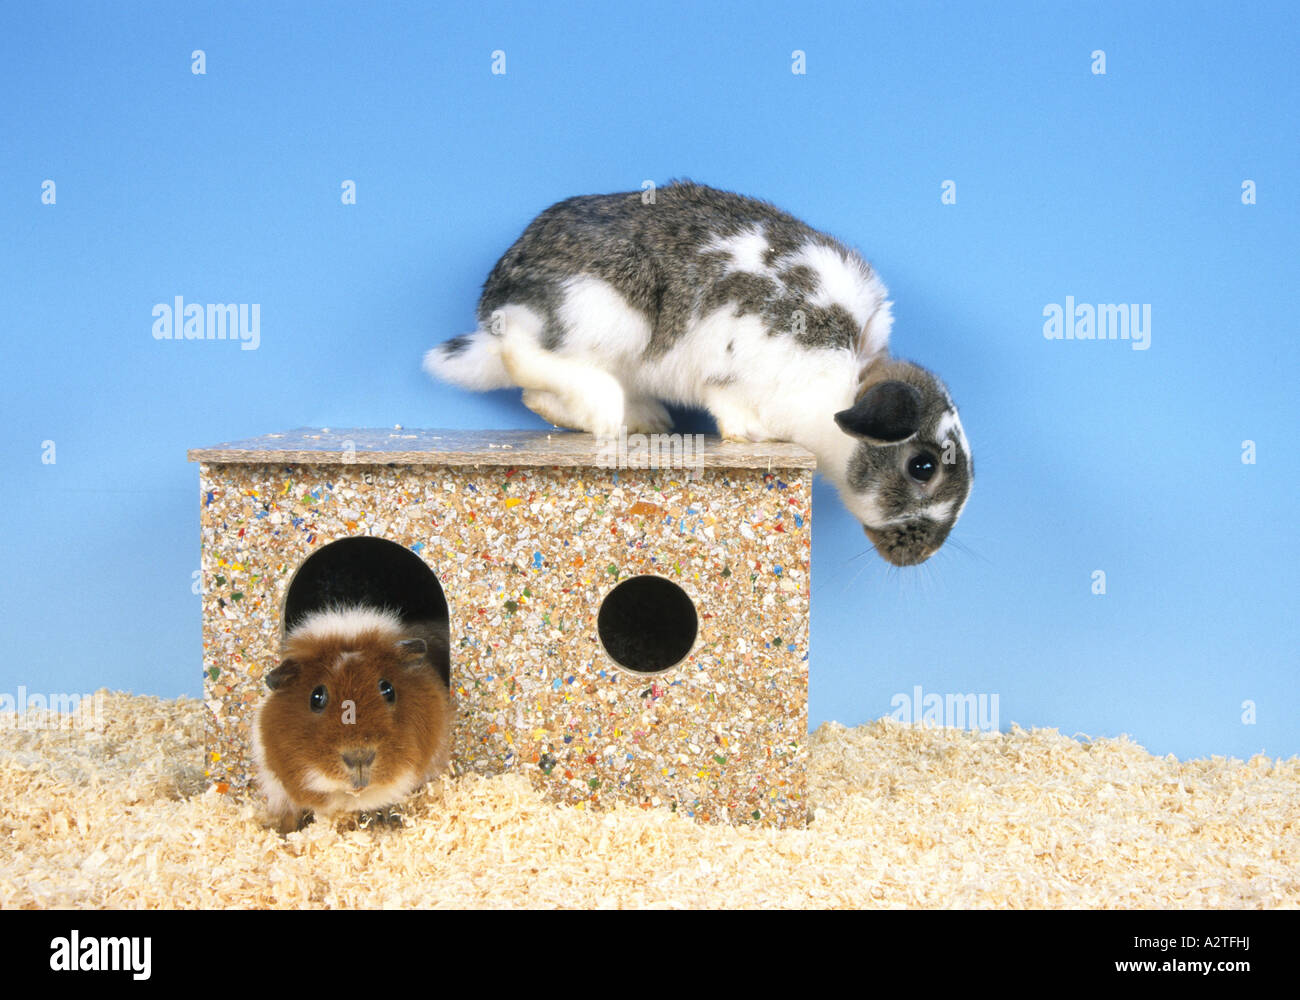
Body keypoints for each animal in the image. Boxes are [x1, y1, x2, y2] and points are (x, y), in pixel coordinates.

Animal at [423, 181, 972, 566]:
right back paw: (604, 411)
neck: (846, 381)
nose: (923, 552)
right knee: (527, 366)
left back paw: (644, 419)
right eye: (923, 466)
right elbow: (728, 404)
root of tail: (497, 306)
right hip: (606, 314)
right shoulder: (735, 366)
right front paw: (751, 434)